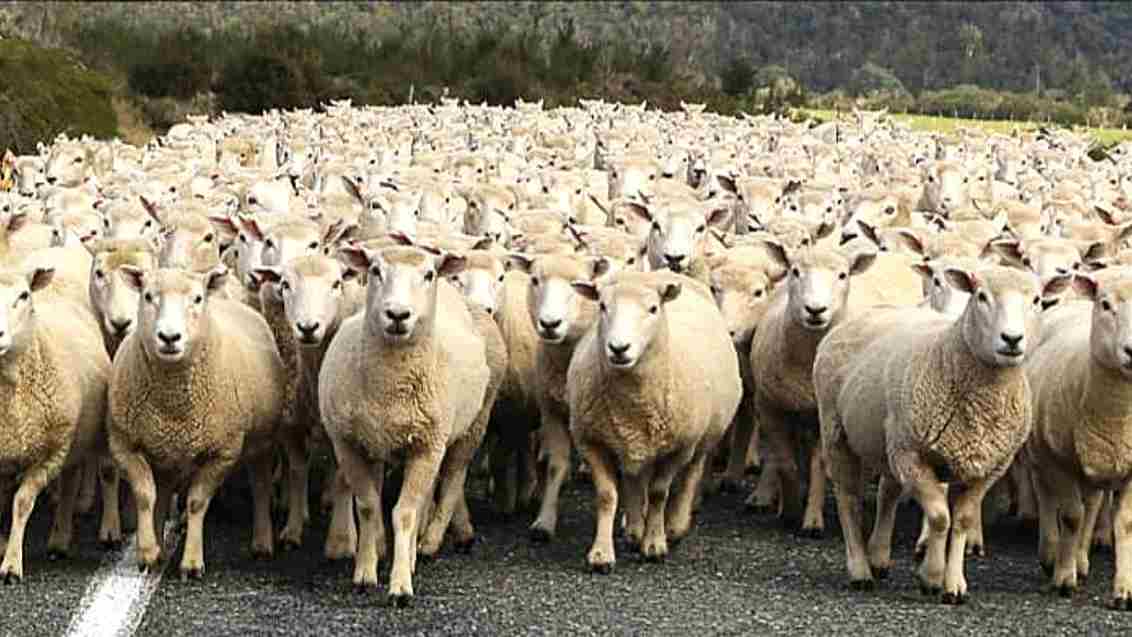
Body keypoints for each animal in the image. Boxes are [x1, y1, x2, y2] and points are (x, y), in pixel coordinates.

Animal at [108, 265, 286, 577]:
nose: (169, 337)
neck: (172, 407)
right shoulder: (125, 444)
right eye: (148, 296)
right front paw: (148, 552)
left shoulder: (222, 453)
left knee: (261, 486)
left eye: (198, 298)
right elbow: (146, 495)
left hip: (263, 441)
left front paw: (191, 562)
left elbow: (196, 503)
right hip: (164, 451)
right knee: (163, 492)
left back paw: (262, 543)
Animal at [320, 244, 494, 605]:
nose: (398, 314)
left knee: (442, 485)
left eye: (428, 274)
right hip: (380, 442)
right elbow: (368, 506)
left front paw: (400, 584)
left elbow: (405, 513)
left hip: (465, 431)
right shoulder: (349, 444)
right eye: (375, 270)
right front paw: (365, 572)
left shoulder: (427, 445)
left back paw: (419, 550)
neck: (390, 390)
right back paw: (383, 547)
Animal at [566, 269, 743, 571]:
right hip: (634, 444)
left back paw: (675, 525)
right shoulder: (593, 442)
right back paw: (635, 528)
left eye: (653, 309)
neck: (632, 405)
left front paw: (655, 544)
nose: (619, 348)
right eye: (602, 306)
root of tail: (667, 273)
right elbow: (607, 495)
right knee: (636, 478)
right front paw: (602, 553)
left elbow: (660, 492)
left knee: (691, 473)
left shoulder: (677, 448)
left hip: (703, 436)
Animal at [814, 265, 1068, 601]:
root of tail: (862, 315)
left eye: (1037, 300)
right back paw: (860, 569)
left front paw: (954, 584)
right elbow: (938, 517)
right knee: (848, 499)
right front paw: (932, 577)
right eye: (981, 296)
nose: (1012, 339)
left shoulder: (986, 468)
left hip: (889, 442)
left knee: (887, 493)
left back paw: (878, 557)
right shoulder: (914, 456)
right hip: (838, 431)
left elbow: (960, 521)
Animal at [1022, 269, 1132, 608]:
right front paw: (1063, 578)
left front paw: (1124, 590)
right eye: (1106, 304)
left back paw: (1081, 559)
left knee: (1093, 504)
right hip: (1041, 453)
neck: (1118, 418)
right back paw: (1051, 555)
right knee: (1046, 496)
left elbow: (1123, 524)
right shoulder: (1059, 463)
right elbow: (1071, 516)